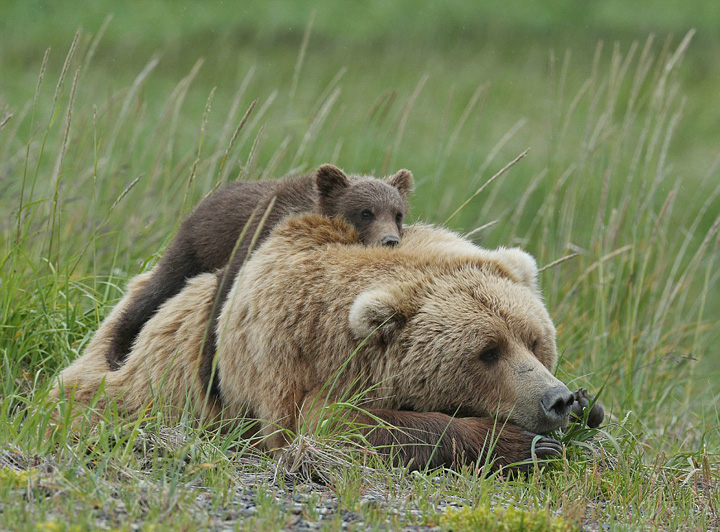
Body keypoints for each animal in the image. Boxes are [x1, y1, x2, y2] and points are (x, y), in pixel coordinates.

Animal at [52, 214, 597, 471]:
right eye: (487, 352)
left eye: (533, 340)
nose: (555, 399)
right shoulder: (291, 370)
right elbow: (335, 427)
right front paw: (521, 444)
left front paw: (588, 410)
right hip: (138, 383)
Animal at [104, 164, 414, 372]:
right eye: (365, 212)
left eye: (397, 214)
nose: (390, 240)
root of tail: (208, 198)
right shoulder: (255, 235)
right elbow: (224, 299)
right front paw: (211, 370)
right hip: (195, 246)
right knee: (159, 288)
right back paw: (117, 350)